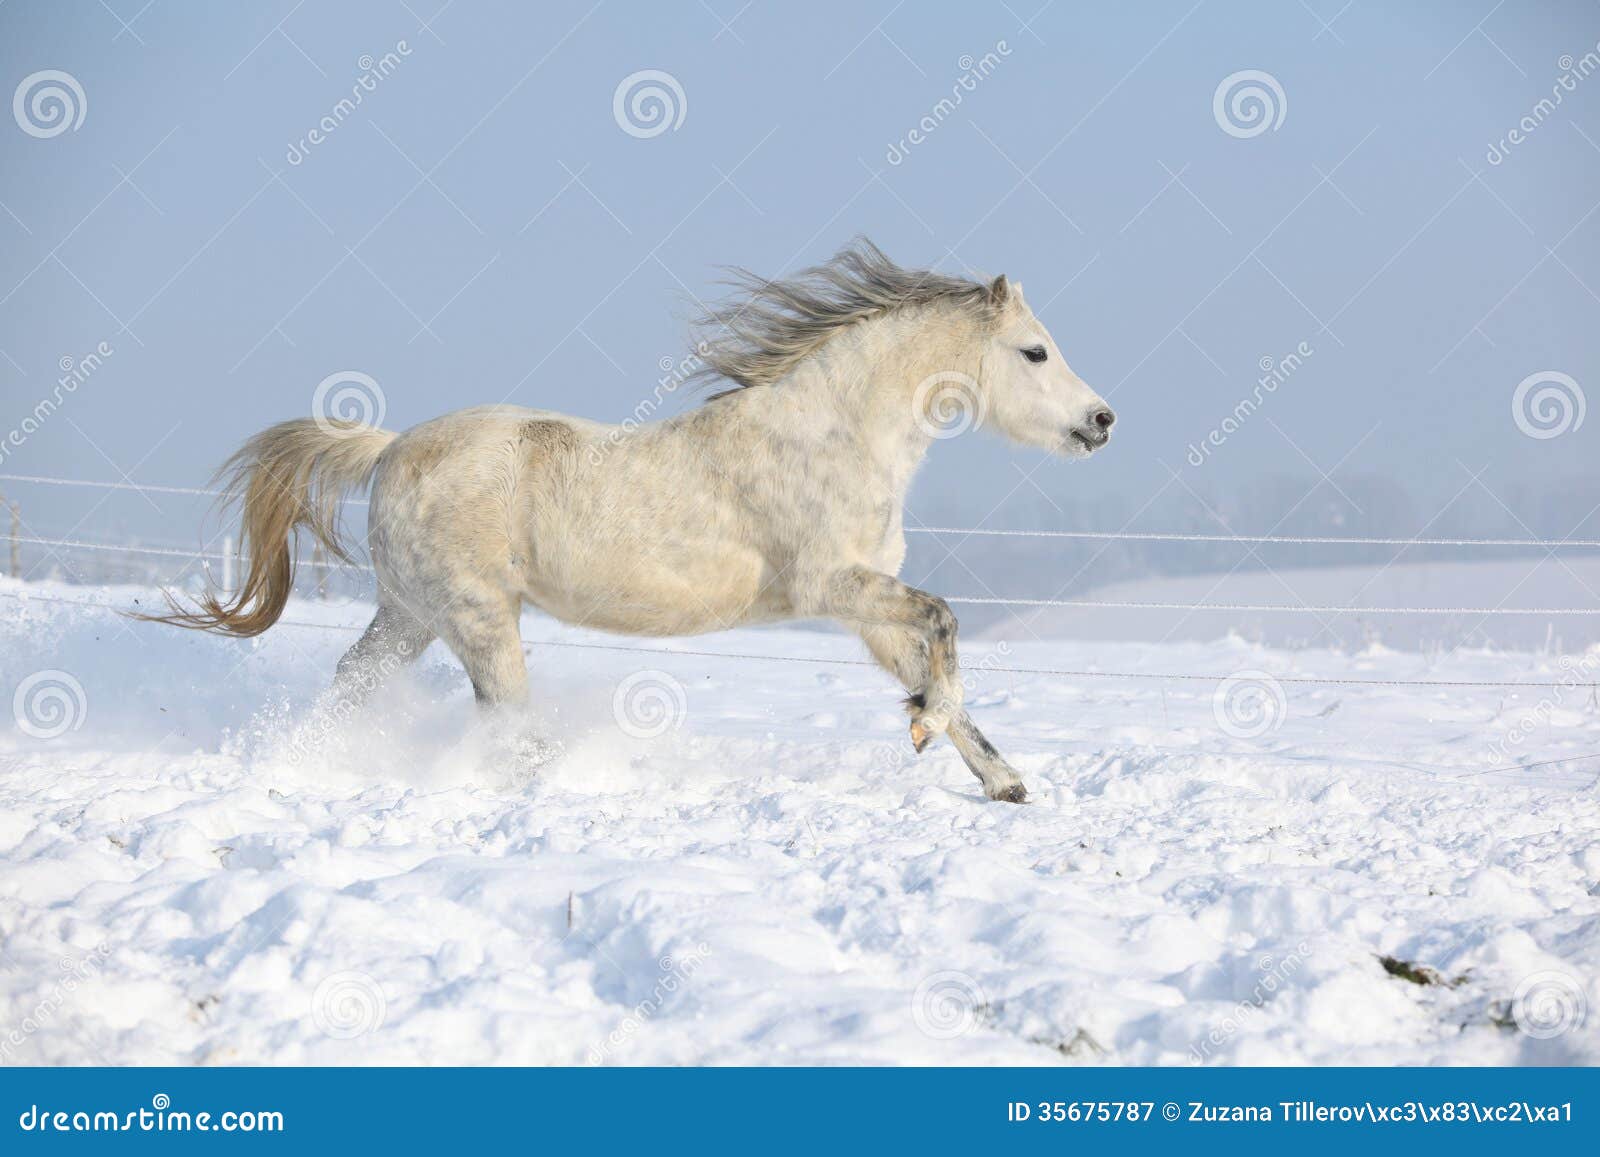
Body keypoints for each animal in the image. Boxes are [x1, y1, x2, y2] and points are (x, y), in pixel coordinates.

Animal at [150, 240, 1115, 803]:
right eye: (1034, 352)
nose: (1102, 420)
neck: (834, 430)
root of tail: (390, 450)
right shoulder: (833, 584)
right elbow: (945, 624)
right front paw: (927, 727)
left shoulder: (862, 604)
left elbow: (936, 664)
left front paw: (1002, 779)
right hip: (477, 617)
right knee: (505, 718)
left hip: (412, 615)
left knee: (357, 681)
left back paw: (304, 762)